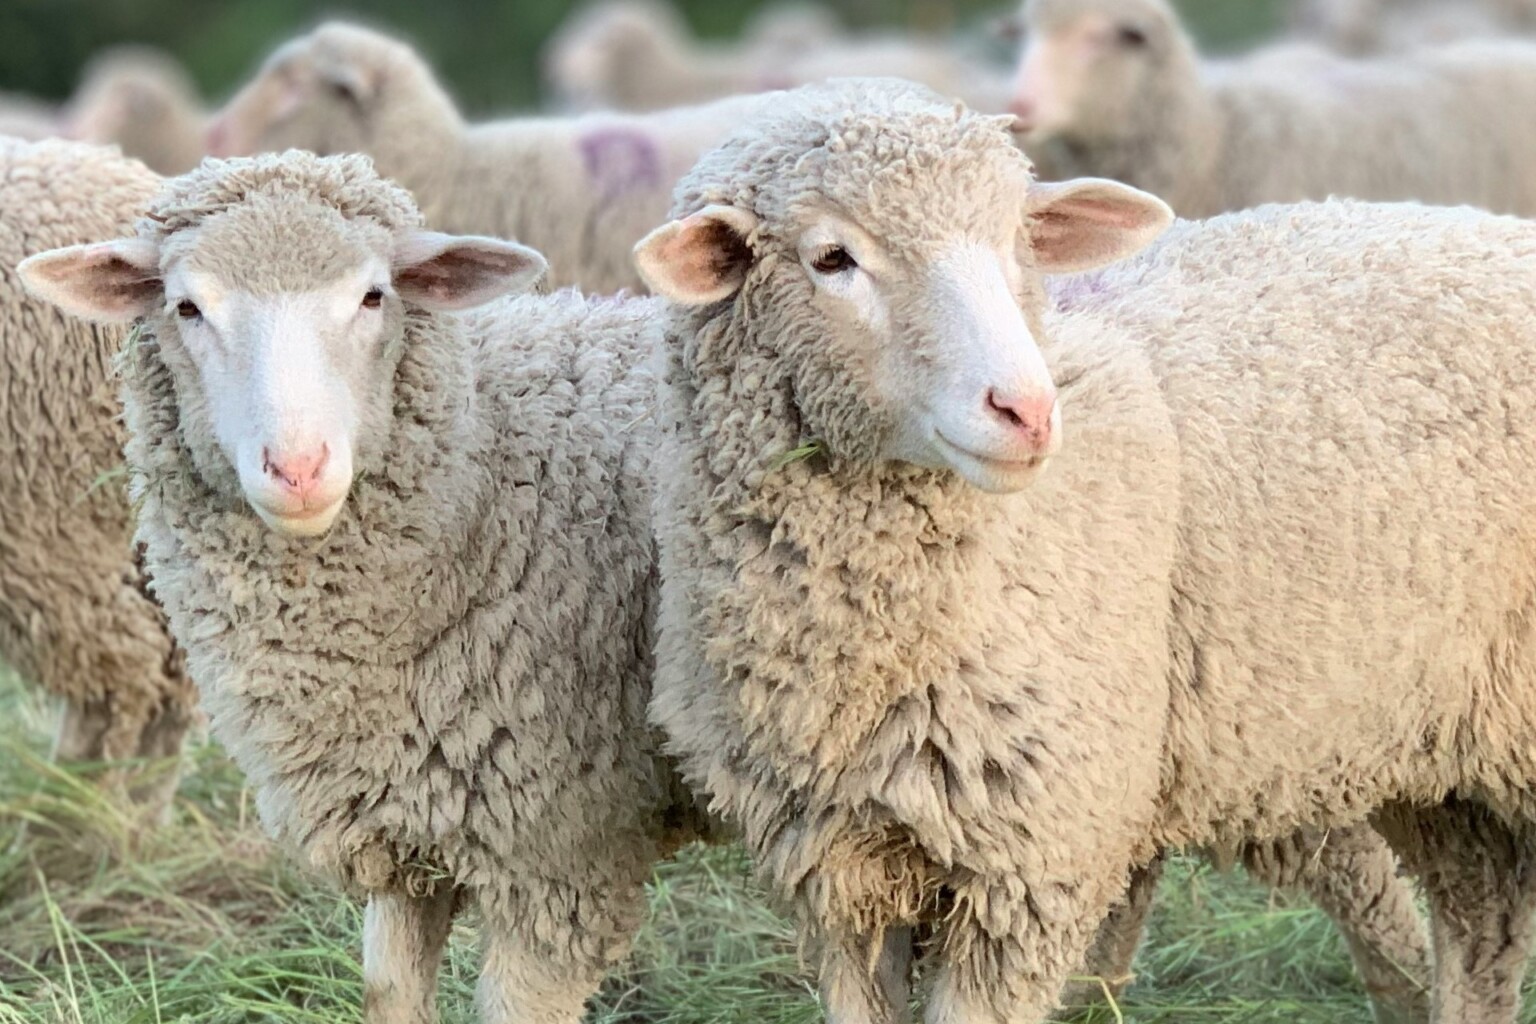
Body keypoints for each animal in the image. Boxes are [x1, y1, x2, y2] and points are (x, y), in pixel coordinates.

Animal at [19, 149, 706, 1024]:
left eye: (374, 295)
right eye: (187, 307)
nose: (299, 467)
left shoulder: (560, 858)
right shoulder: (403, 818)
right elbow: (387, 992)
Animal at [635, 78, 1536, 1023]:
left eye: (1016, 242)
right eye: (832, 258)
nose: (1027, 410)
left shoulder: (1033, 864)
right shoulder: (840, 872)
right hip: (1434, 743)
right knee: (1483, 916)